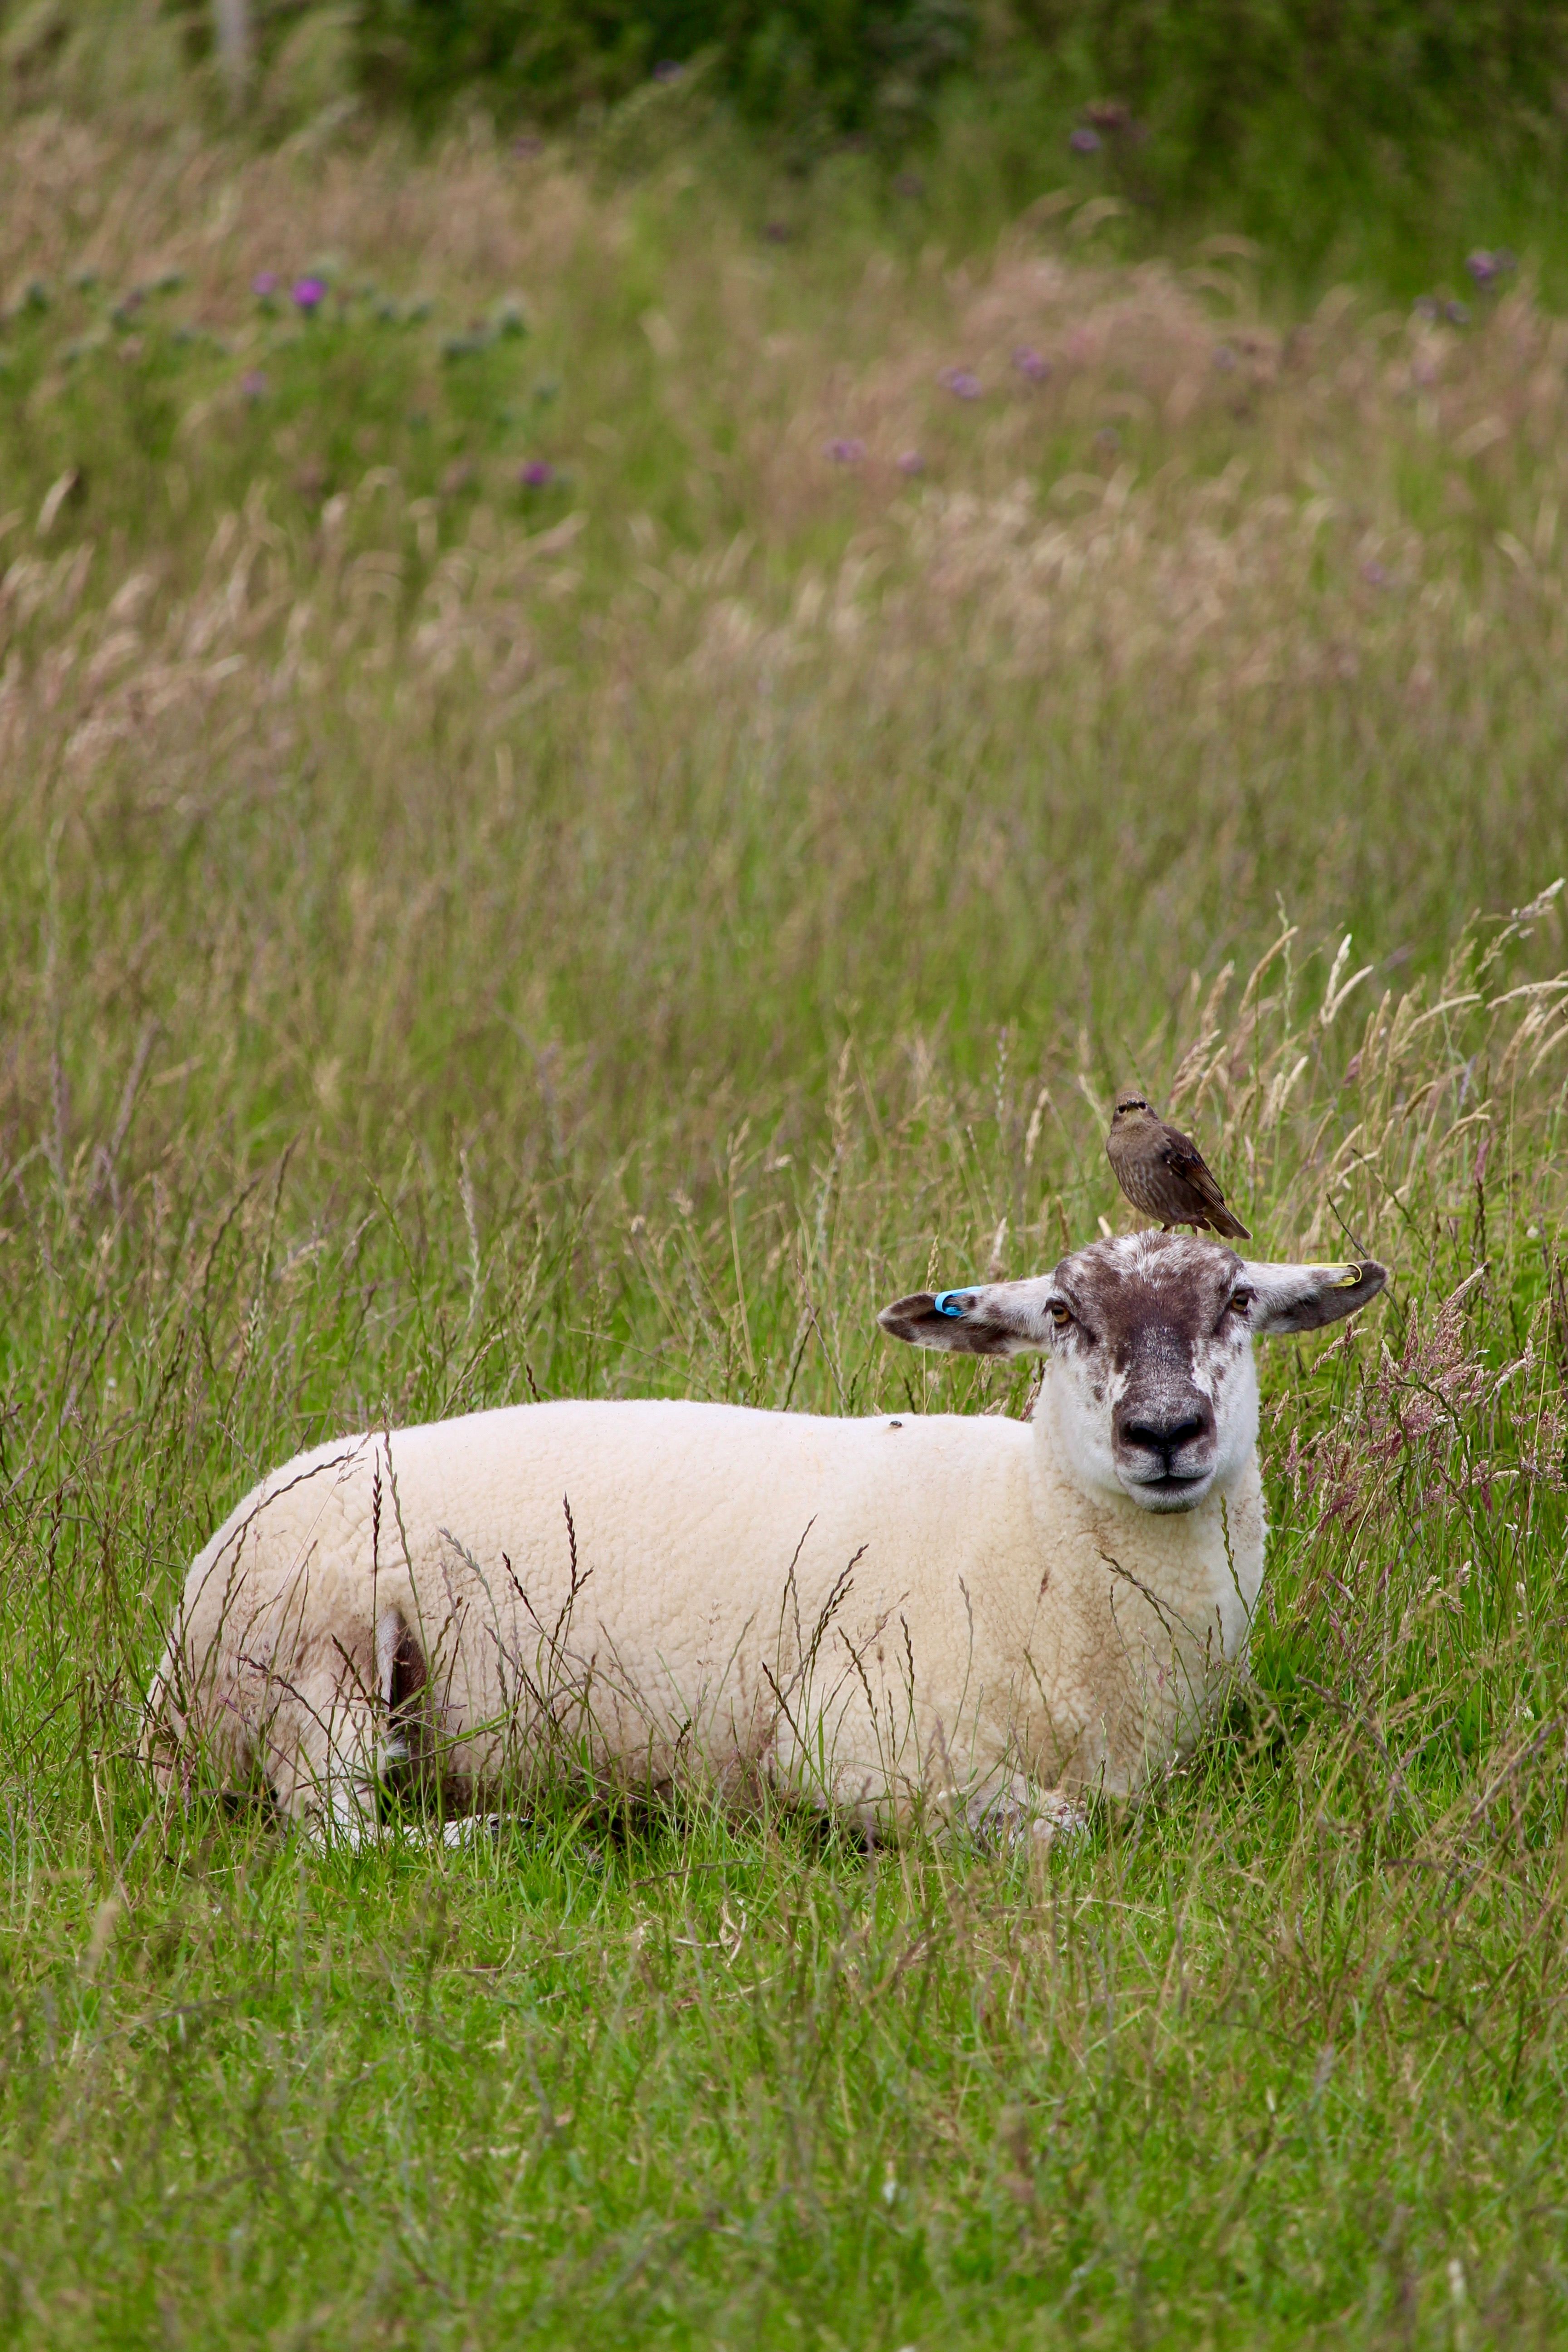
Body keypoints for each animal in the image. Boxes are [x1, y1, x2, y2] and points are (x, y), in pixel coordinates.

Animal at [145, 1233, 1385, 1843]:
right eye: (1062, 1315)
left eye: (1237, 1300)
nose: (1164, 1433)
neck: (1030, 1530)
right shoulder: (848, 1742)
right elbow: (1062, 1828)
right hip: (317, 1656)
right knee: (330, 1829)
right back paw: (498, 1831)